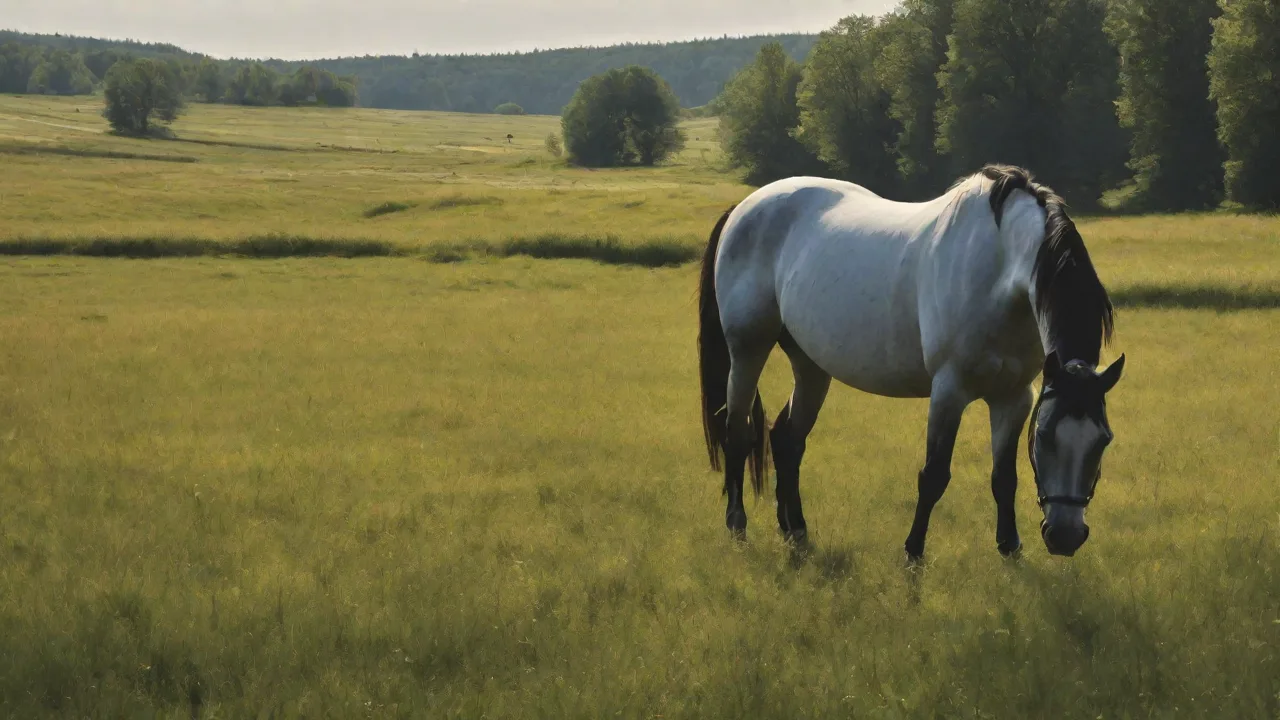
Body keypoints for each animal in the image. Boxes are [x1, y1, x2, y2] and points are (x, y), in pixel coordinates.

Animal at [697, 164, 1125, 559]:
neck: (999, 268)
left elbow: (1004, 477)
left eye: (1103, 440)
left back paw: (795, 531)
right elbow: (933, 475)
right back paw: (738, 527)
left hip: (811, 365)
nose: (1065, 537)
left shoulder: (1015, 396)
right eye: (1045, 436)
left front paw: (1009, 548)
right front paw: (913, 553)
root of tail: (745, 208)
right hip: (748, 349)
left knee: (787, 439)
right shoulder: (949, 391)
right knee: (739, 431)